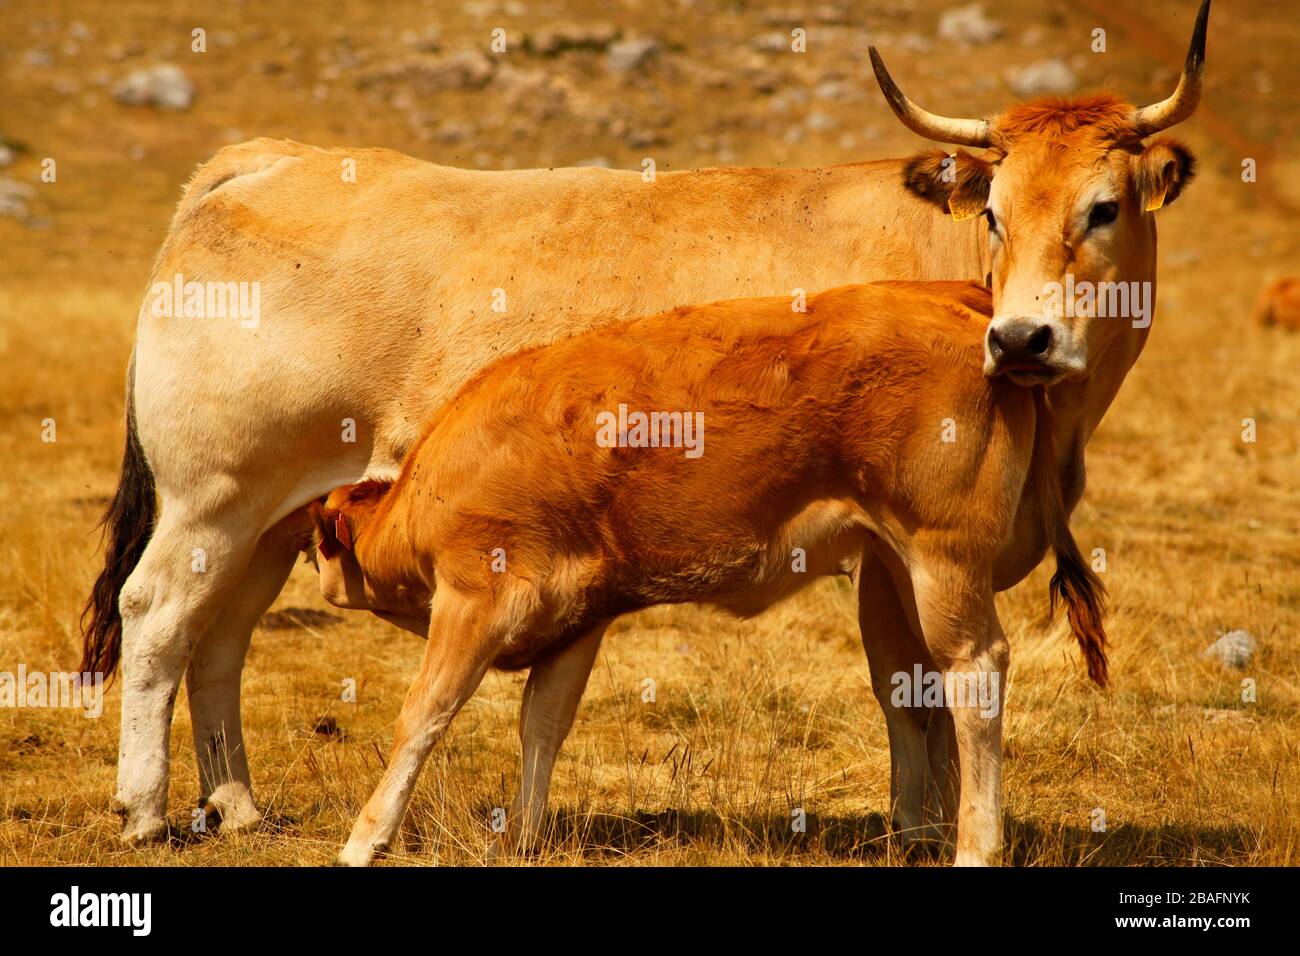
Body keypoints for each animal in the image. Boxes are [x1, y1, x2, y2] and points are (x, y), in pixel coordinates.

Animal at [302, 280, 1105, 867]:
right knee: (920, 687)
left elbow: (423, 716)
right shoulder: (577, 619)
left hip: (944, 559)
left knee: (975, 671)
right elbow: (543, 727)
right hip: (900, 571)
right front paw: (526, 838)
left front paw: (363, 839)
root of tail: (963, 301)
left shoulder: (477, 601)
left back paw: (975, 846)